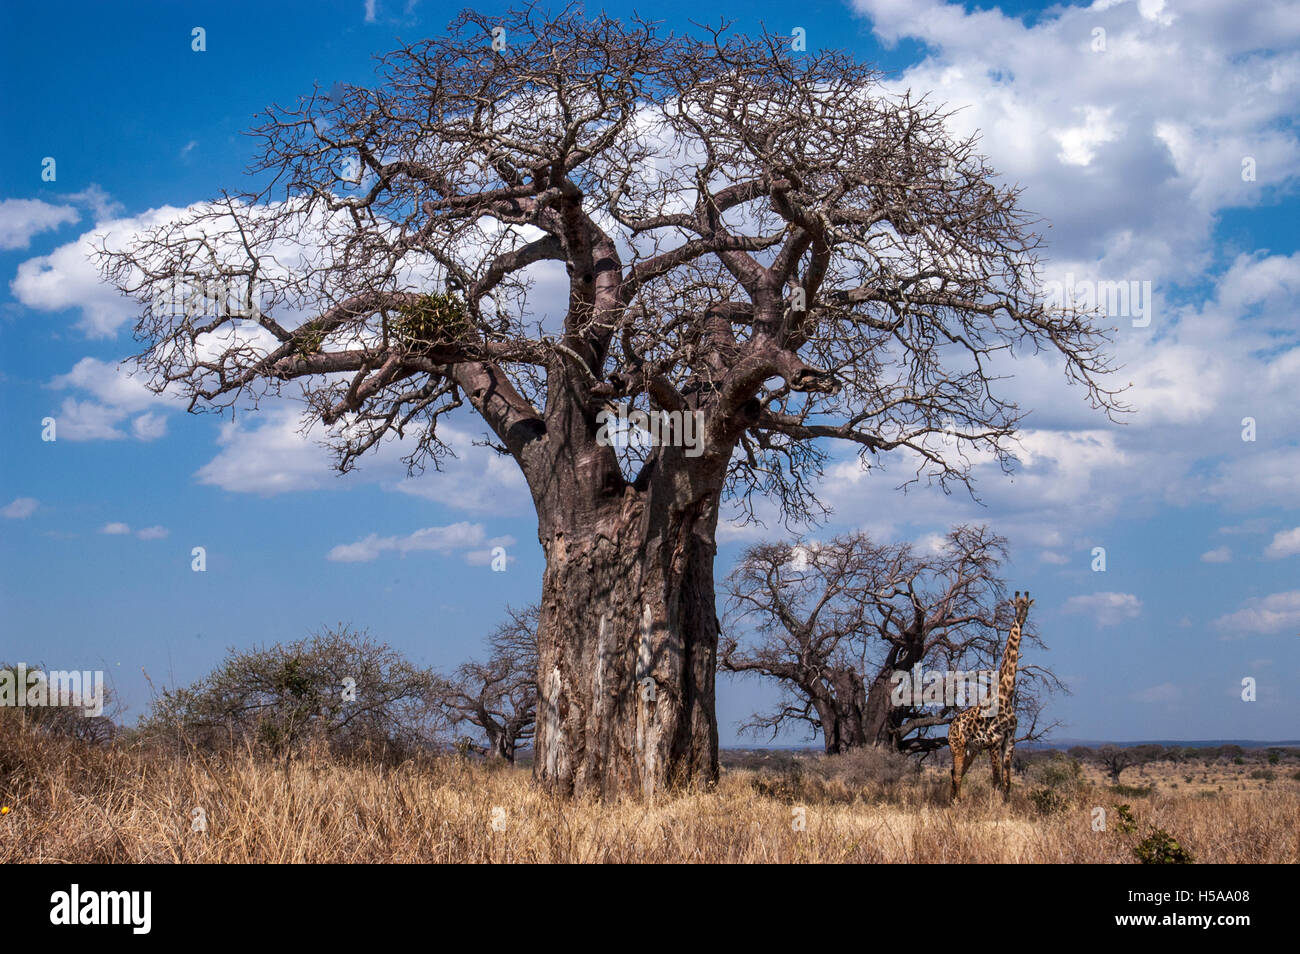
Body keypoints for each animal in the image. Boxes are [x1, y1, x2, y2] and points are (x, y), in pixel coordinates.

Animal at [947, 591, 1033, 801]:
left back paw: (952, 800)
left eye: (1027, 606)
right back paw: (956, 803)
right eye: (1015, 606)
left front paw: (1006, 806)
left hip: (972, 749)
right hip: (957, 746)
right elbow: (996, 781)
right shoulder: (995, 742)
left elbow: (1007, 783)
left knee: (956, 773)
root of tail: (950, 726)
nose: (1020, 619)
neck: (1006, 696)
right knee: (957, 774)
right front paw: (994, 807)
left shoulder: (1009, 741)